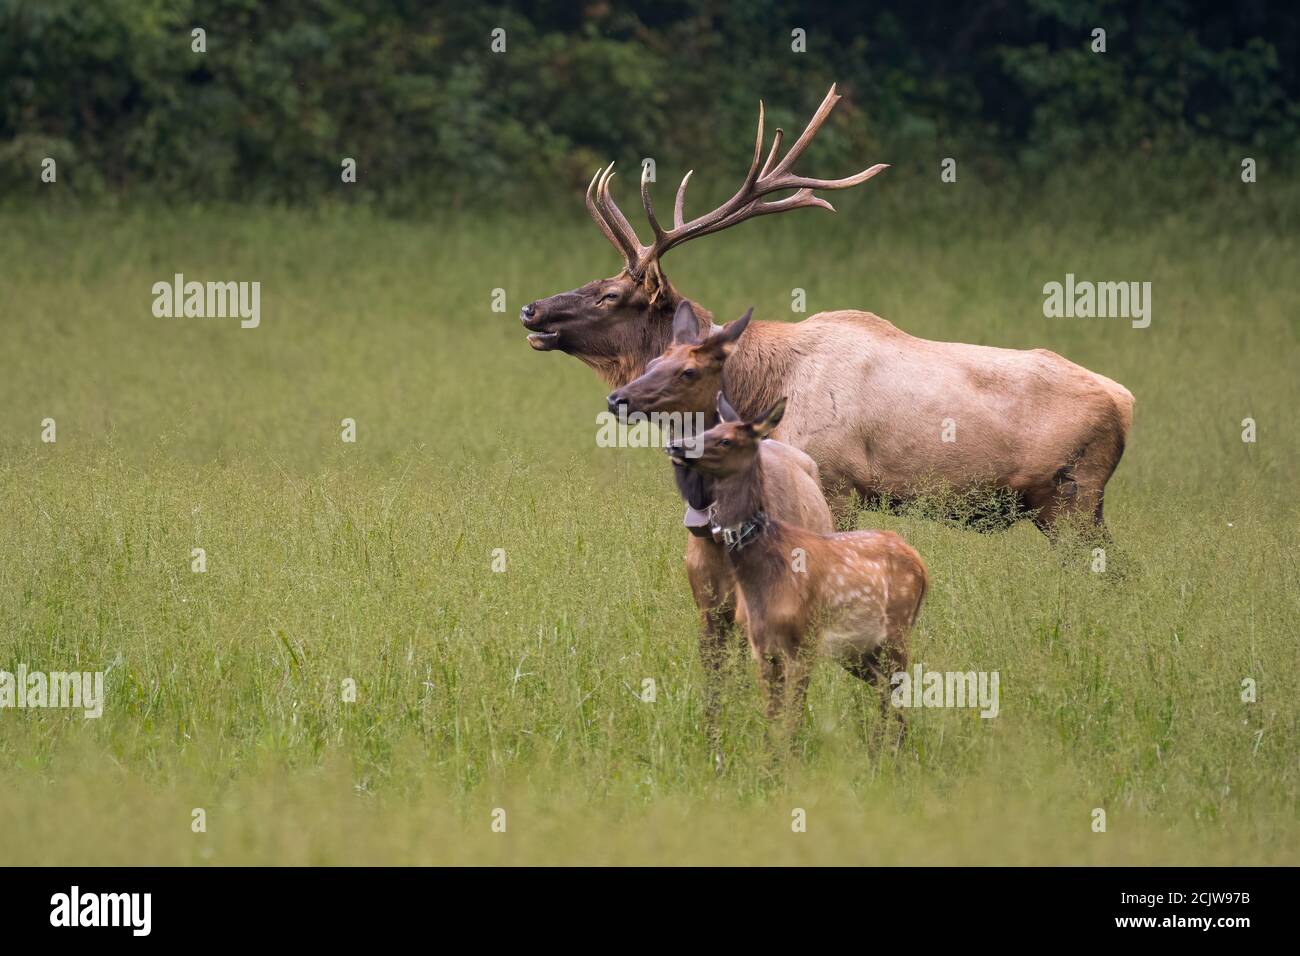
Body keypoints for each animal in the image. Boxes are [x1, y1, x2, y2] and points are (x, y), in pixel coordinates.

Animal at [520, 84, 1134, 536]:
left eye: (609, 295)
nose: (530, 309)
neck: (759, 388)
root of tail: (1125, 402)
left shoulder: (837, 481)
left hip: (1069, 495)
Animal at [606, 302, 834, 759]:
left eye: (689, 372)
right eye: (653, 363)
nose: (617, 399)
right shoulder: (708, 608)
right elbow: (714, 691)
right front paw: (716, 752)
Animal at [667, 394, 928, 746]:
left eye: (725, 439)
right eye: (711, 428)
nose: (676, 446)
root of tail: (919, 563)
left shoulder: (802, 643)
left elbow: (790, 719)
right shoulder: (751, 638)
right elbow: (766, 715)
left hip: (891, 635)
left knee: (896, 693)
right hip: (857, 646)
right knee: (885, 692)